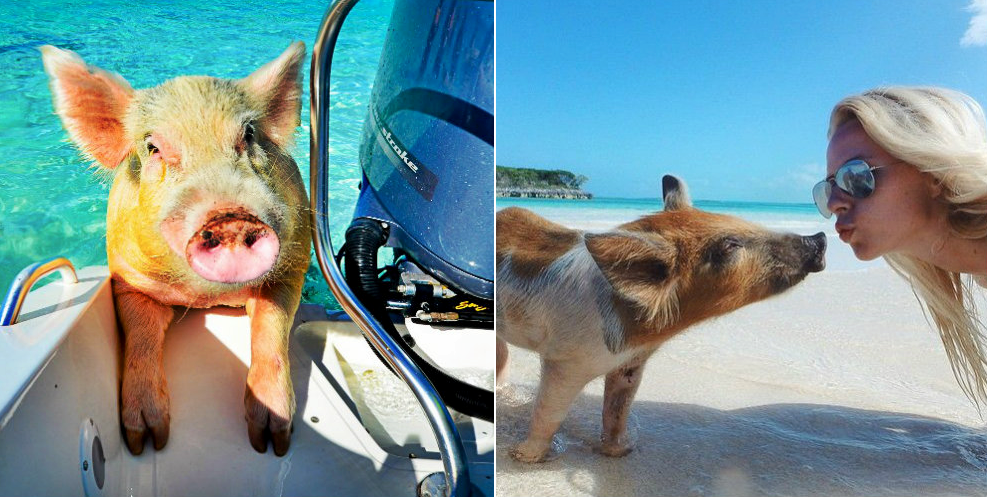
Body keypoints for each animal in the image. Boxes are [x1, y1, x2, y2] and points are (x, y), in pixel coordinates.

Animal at [40, 42, 312, 456]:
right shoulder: (128, 279)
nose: (230, 216)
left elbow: (271, 330)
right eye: (153, 147)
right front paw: (146, 441)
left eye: (248, 134)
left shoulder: (292, 266)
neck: (207, 296)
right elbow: (141, 337)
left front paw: (272, 443)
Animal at [496, 175, 826, 462]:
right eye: (730, 245)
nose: (819, 238)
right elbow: (549, 412)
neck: (641, 333)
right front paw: (524, 457)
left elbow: (618, 410)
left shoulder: (631, 365)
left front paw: (621, 451)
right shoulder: (564, 360)